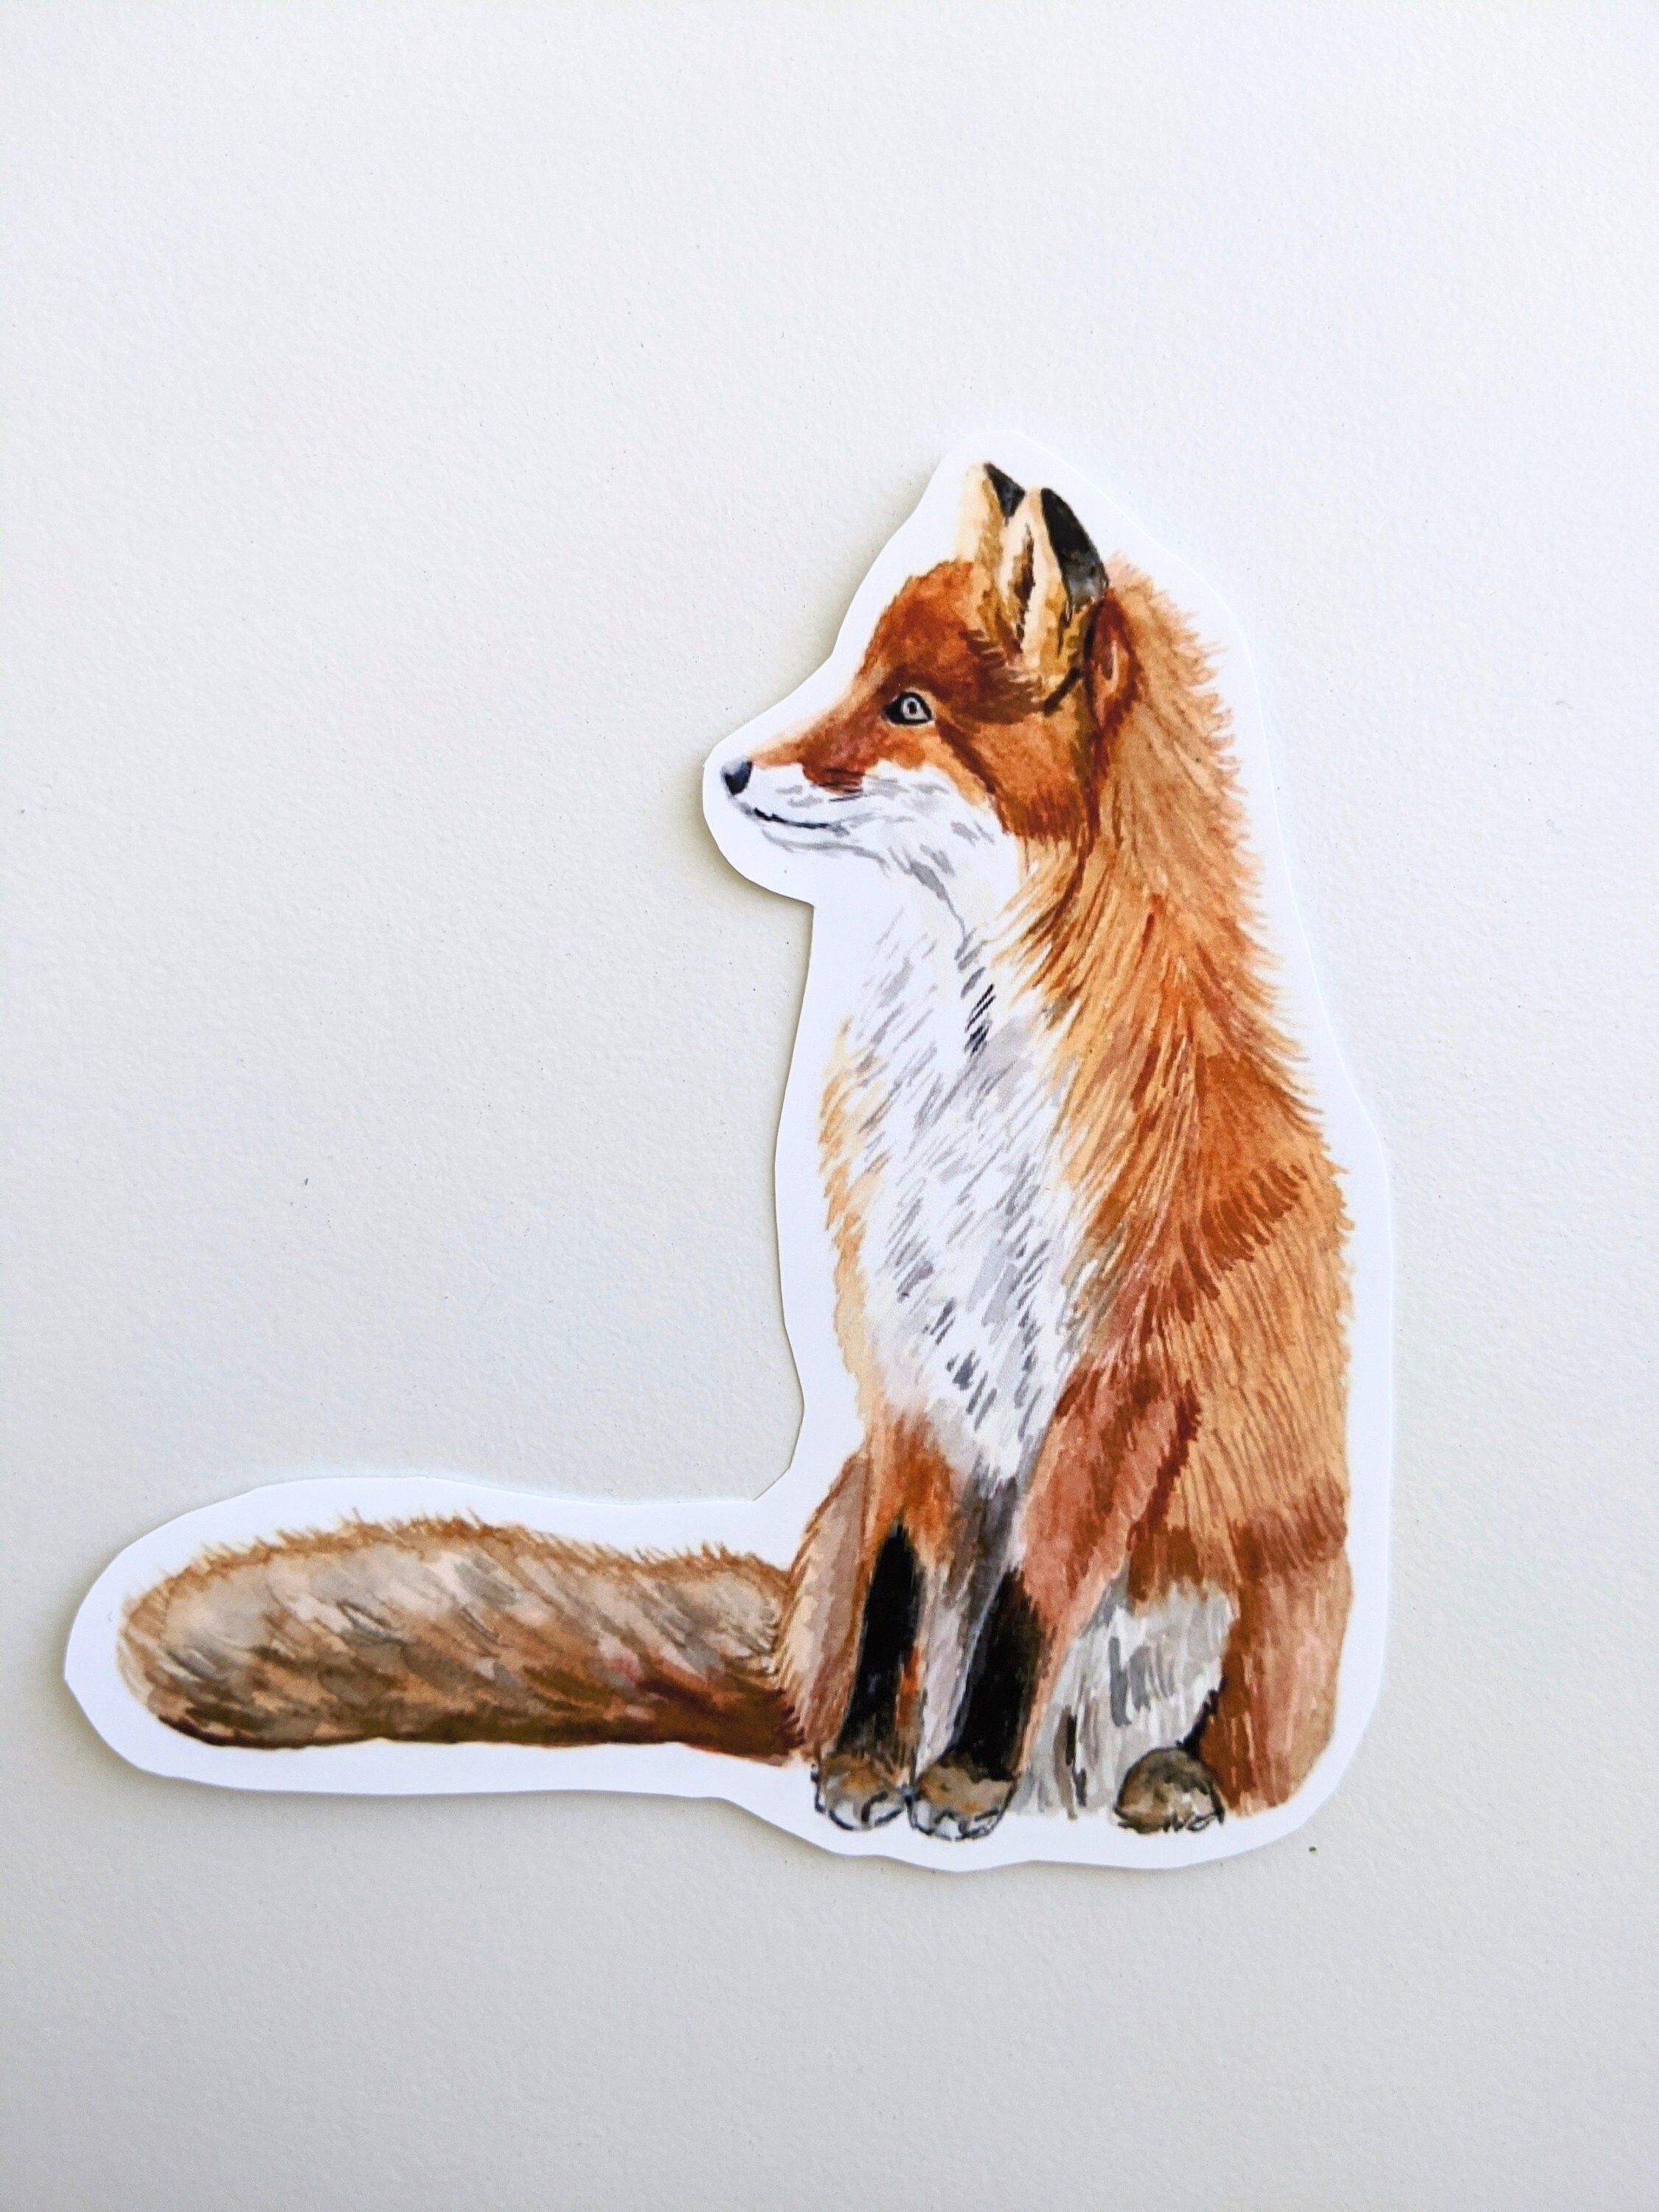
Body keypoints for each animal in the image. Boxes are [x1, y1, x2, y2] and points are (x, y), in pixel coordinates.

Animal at [107, 457, 1356, 1848]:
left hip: (1283, 1599)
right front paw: (871, 1768)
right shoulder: (908, 1360)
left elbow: (1028, 1610)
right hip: (852, 1508)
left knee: (1252, 1755)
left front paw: (960, 1778)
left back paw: (1163, 1782)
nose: (732, 771)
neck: (974, 1067)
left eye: (908, 707)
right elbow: (899, 1603)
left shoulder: (1116, 1381)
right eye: (861, 677)